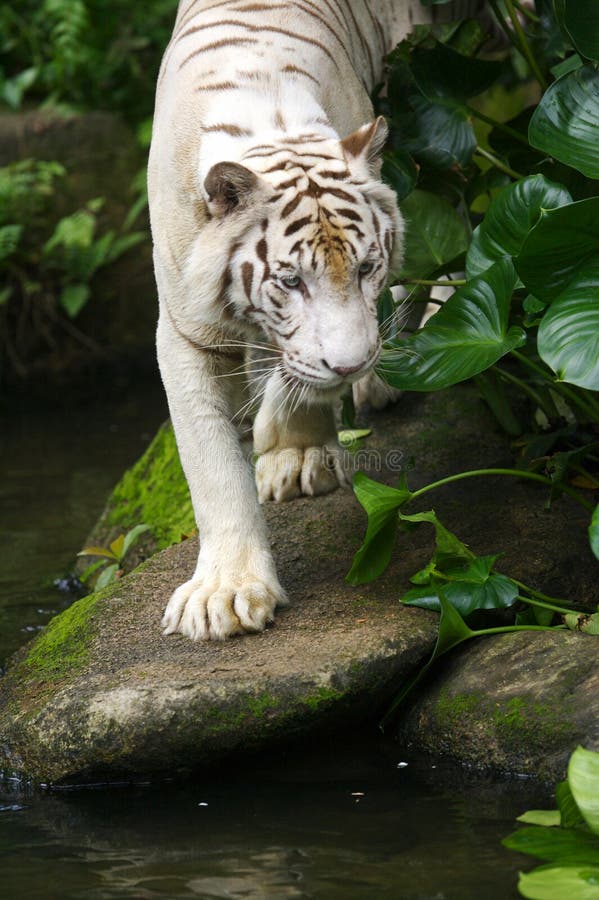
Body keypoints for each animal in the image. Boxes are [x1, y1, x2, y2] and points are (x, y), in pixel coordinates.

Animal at [148, 0, 480, 641]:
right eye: (289, 281)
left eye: (367, 267)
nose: (351, 365)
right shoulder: (184, 330)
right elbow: (211, 464)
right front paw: (226, 594)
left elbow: (302, 376)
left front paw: (299, 449)